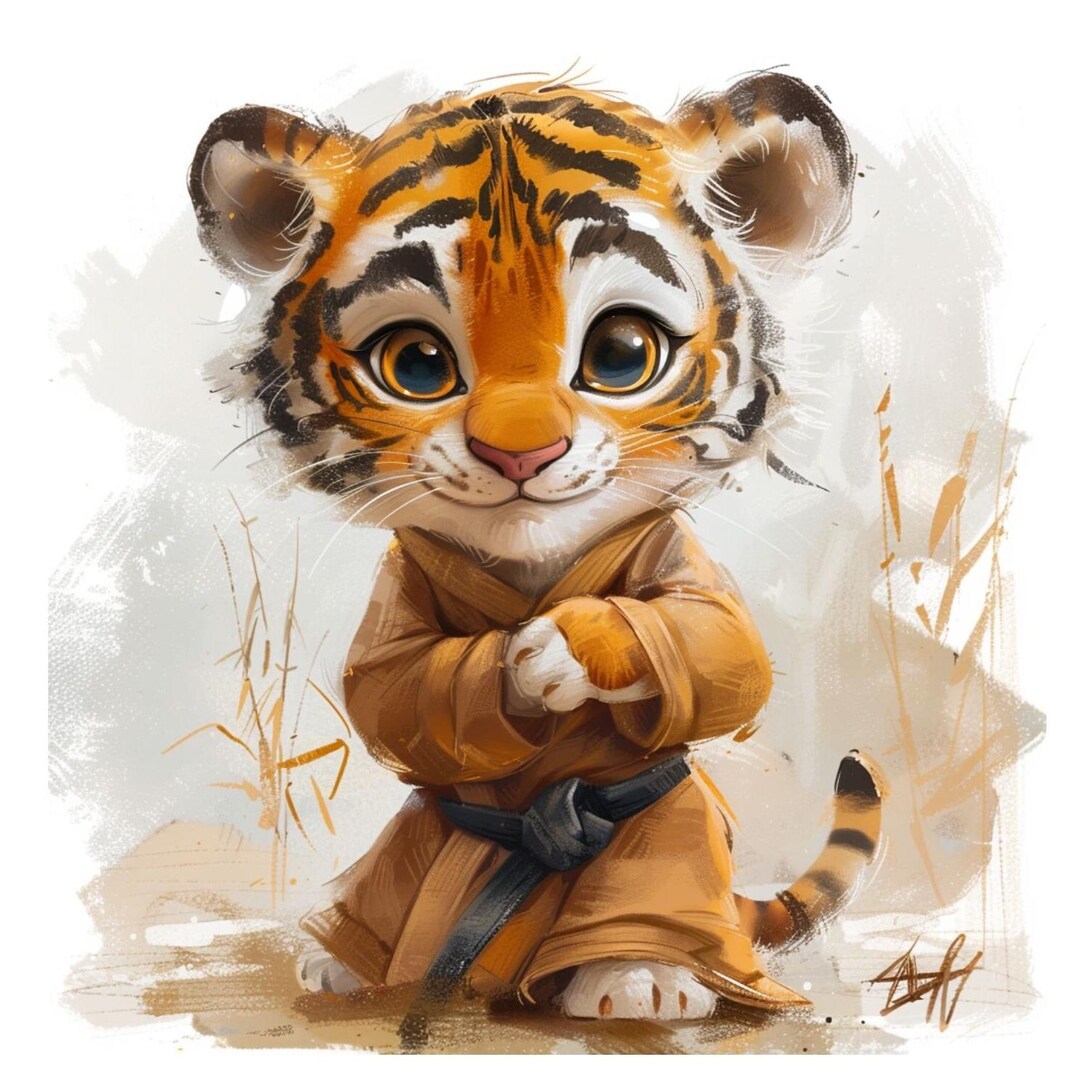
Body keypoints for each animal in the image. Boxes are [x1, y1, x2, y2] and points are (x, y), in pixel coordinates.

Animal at [188, 70, 882, 1023]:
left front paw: (565, 647)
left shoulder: (681, 565)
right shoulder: (398, 596)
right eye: (416, 364)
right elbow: (391, 687)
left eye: (622, 353)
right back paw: (346, 959)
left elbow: (723, 654)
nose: (520, 453)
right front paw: (510, 670)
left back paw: (639, 973)